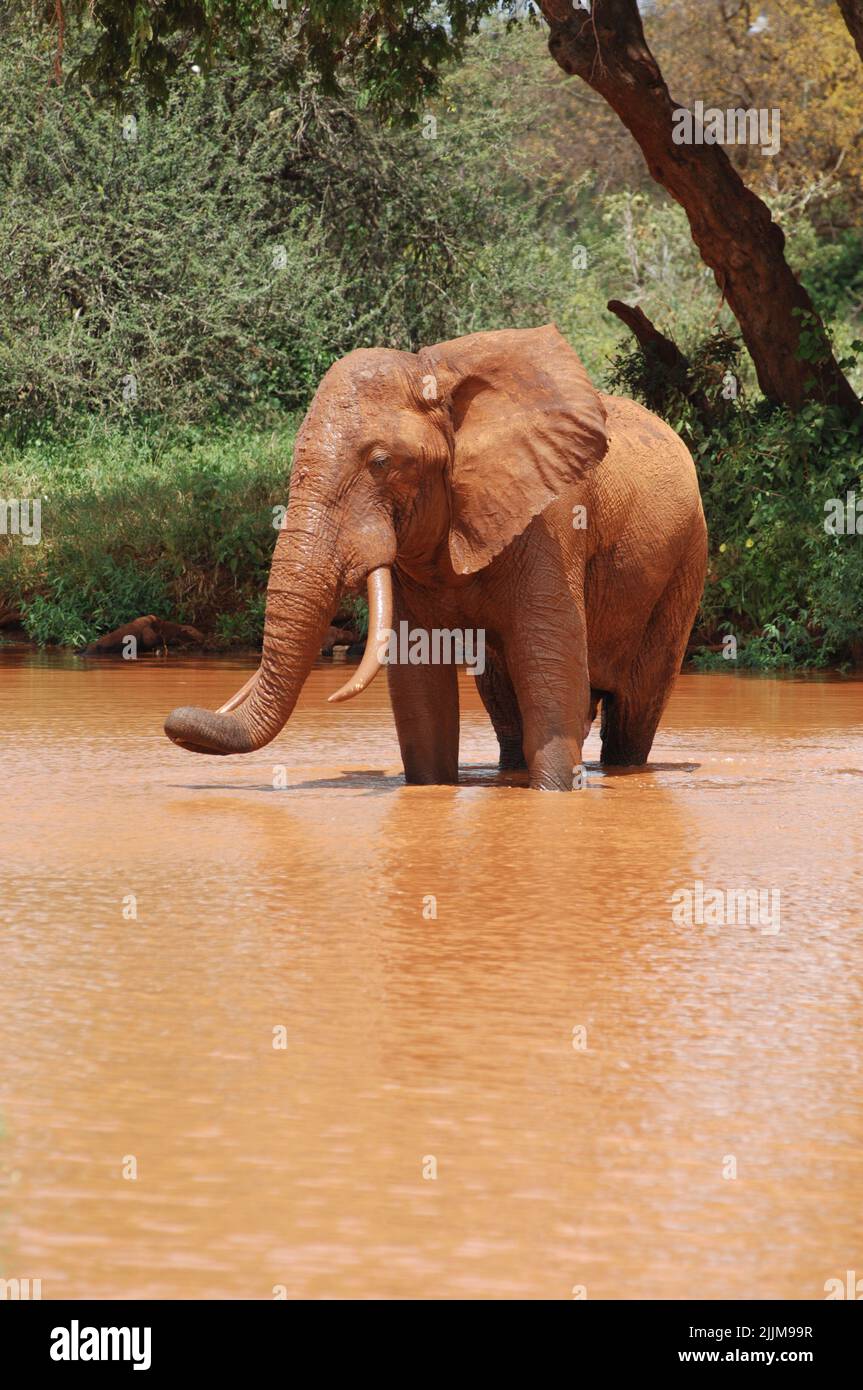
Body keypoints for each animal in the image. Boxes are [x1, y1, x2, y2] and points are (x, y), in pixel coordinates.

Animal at [165, 325, 707, 791]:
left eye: (381, 463)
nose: (176, 723)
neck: (432, 376)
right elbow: (420, 693)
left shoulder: (551, 521)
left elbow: (553, 685)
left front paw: (552, 799)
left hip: (685, 565)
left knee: (634, 712)